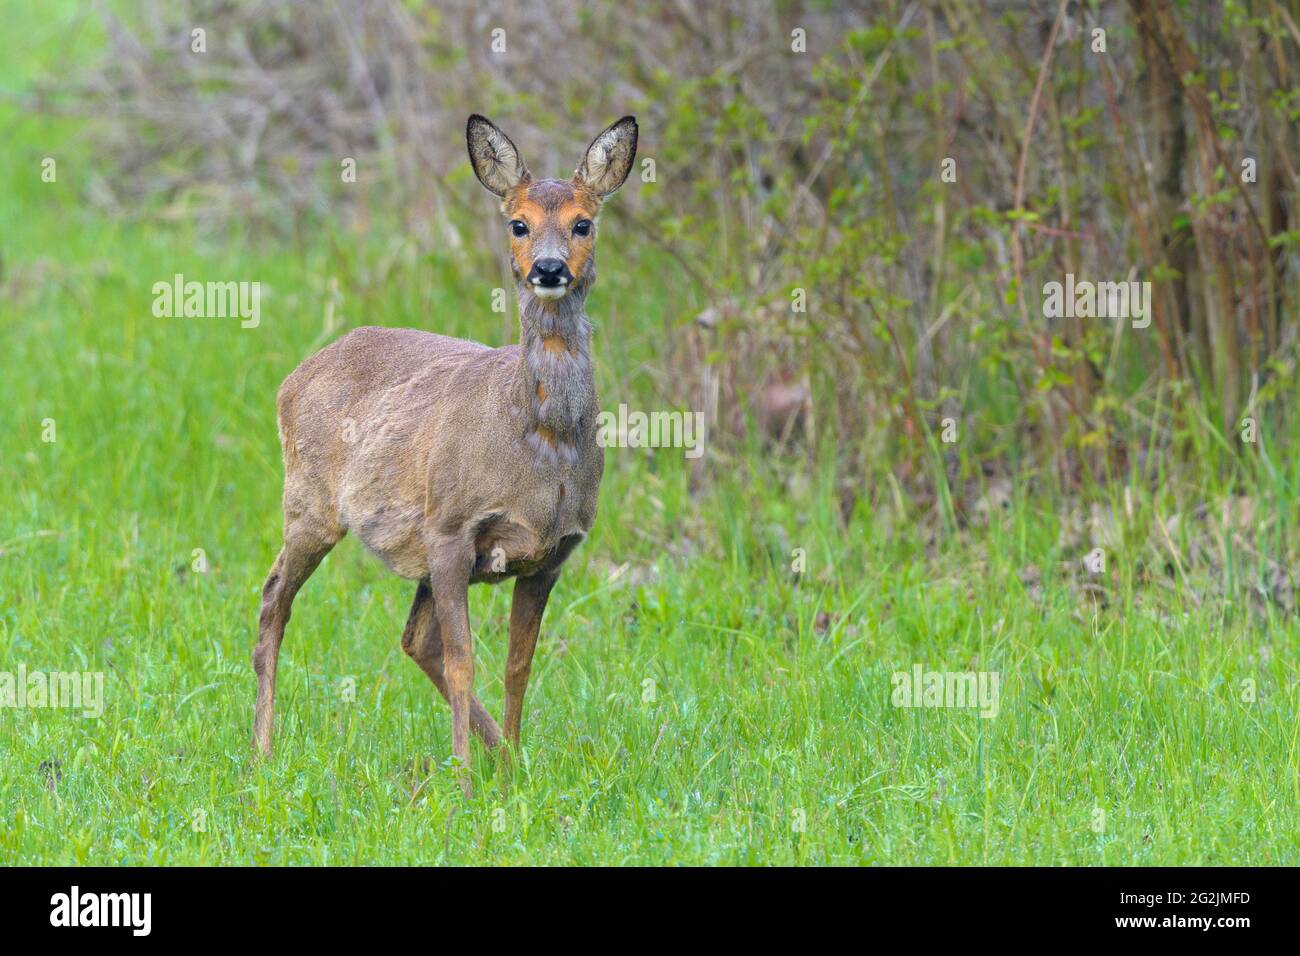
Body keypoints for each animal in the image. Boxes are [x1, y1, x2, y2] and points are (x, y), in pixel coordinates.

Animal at [252, 114, 638, 796]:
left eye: (583, 223)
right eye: (518, 223)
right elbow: (465, 661)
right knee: (274, 602)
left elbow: (516, 664)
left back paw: (500, 758)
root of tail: (292, 379)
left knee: (414, 639)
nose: (548, 269)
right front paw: (462, 781)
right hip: (312, 504)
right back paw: (263, 754)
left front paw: (512, 767)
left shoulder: (553, 553)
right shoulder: (453, 528)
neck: (539, 441)